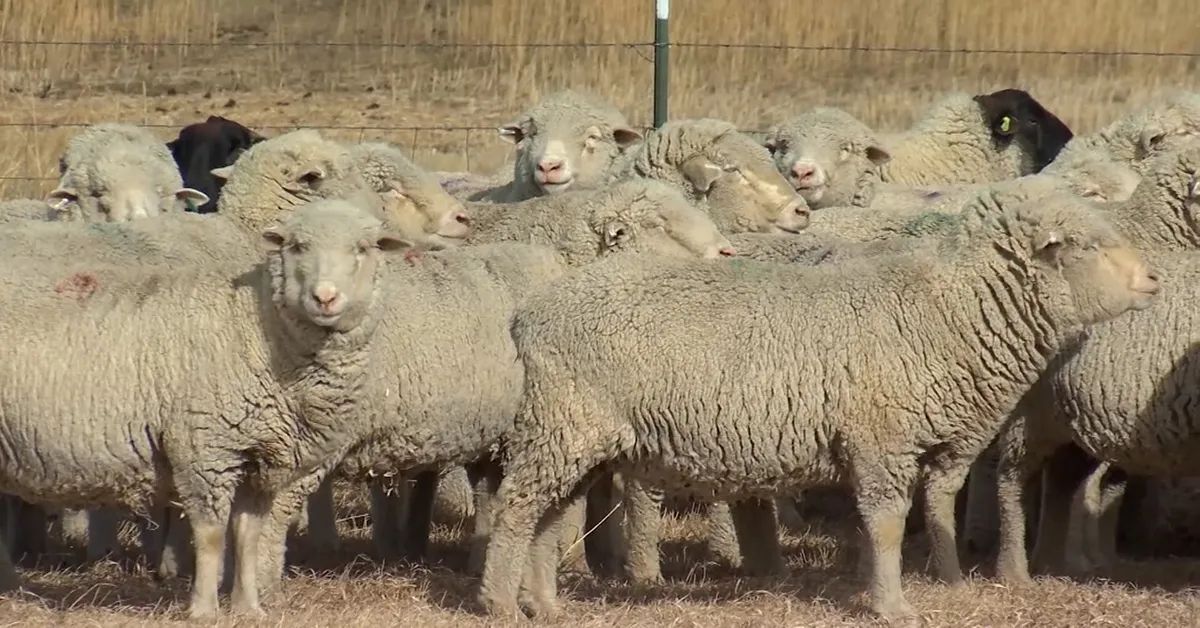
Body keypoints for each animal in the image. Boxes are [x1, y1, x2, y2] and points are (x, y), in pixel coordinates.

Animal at [0, 198, 412, 617]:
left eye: (363, 248)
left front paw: (248, 609)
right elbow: (212, 535)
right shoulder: (205, 449)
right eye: (297, 246)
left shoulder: (259, 460)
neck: (256, 326)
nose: (325, 297)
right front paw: (204, 609)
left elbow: (247, 534)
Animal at [476, 189, 1159, 623]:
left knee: (548, 517)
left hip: (578, 439)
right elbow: (886, 524)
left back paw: (546, 604)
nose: (1153, 279)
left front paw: (933, 585)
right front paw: (893, 605)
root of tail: (527, 314)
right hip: (562, 426)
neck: (943, 313)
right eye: (1089, 245)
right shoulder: (882, 441)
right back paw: (500, 603)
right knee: (516, 510)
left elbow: (919, 515)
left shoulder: (919, 445)